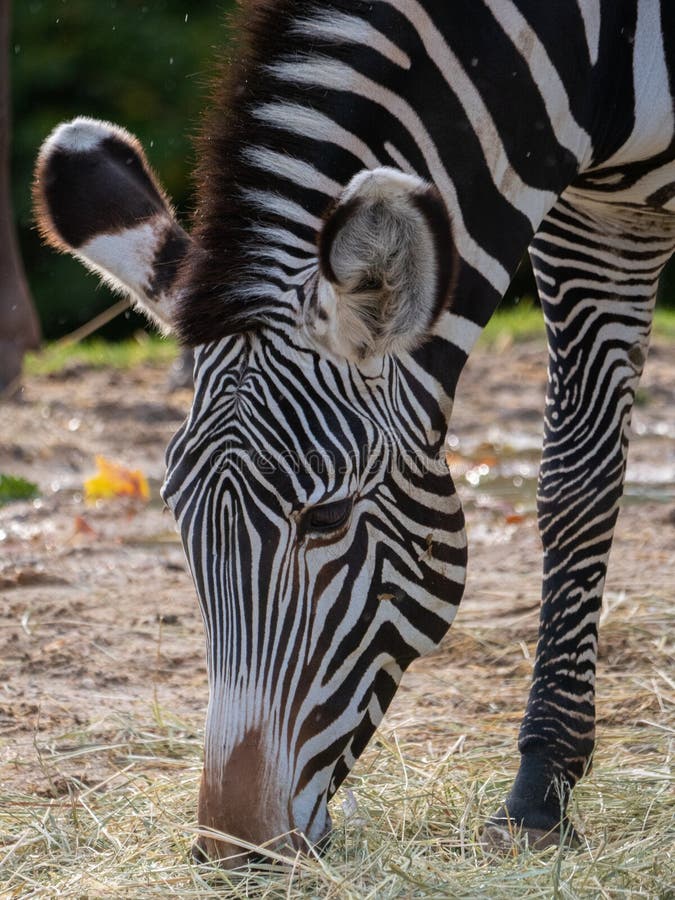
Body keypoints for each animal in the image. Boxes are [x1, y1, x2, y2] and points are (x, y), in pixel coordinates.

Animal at [33, 0, 674, 867]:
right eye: (176, 514)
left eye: (328, 516)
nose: (236, 850)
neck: (595, 48)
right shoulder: (594, 219)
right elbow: (577, 482)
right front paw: (541, 793)